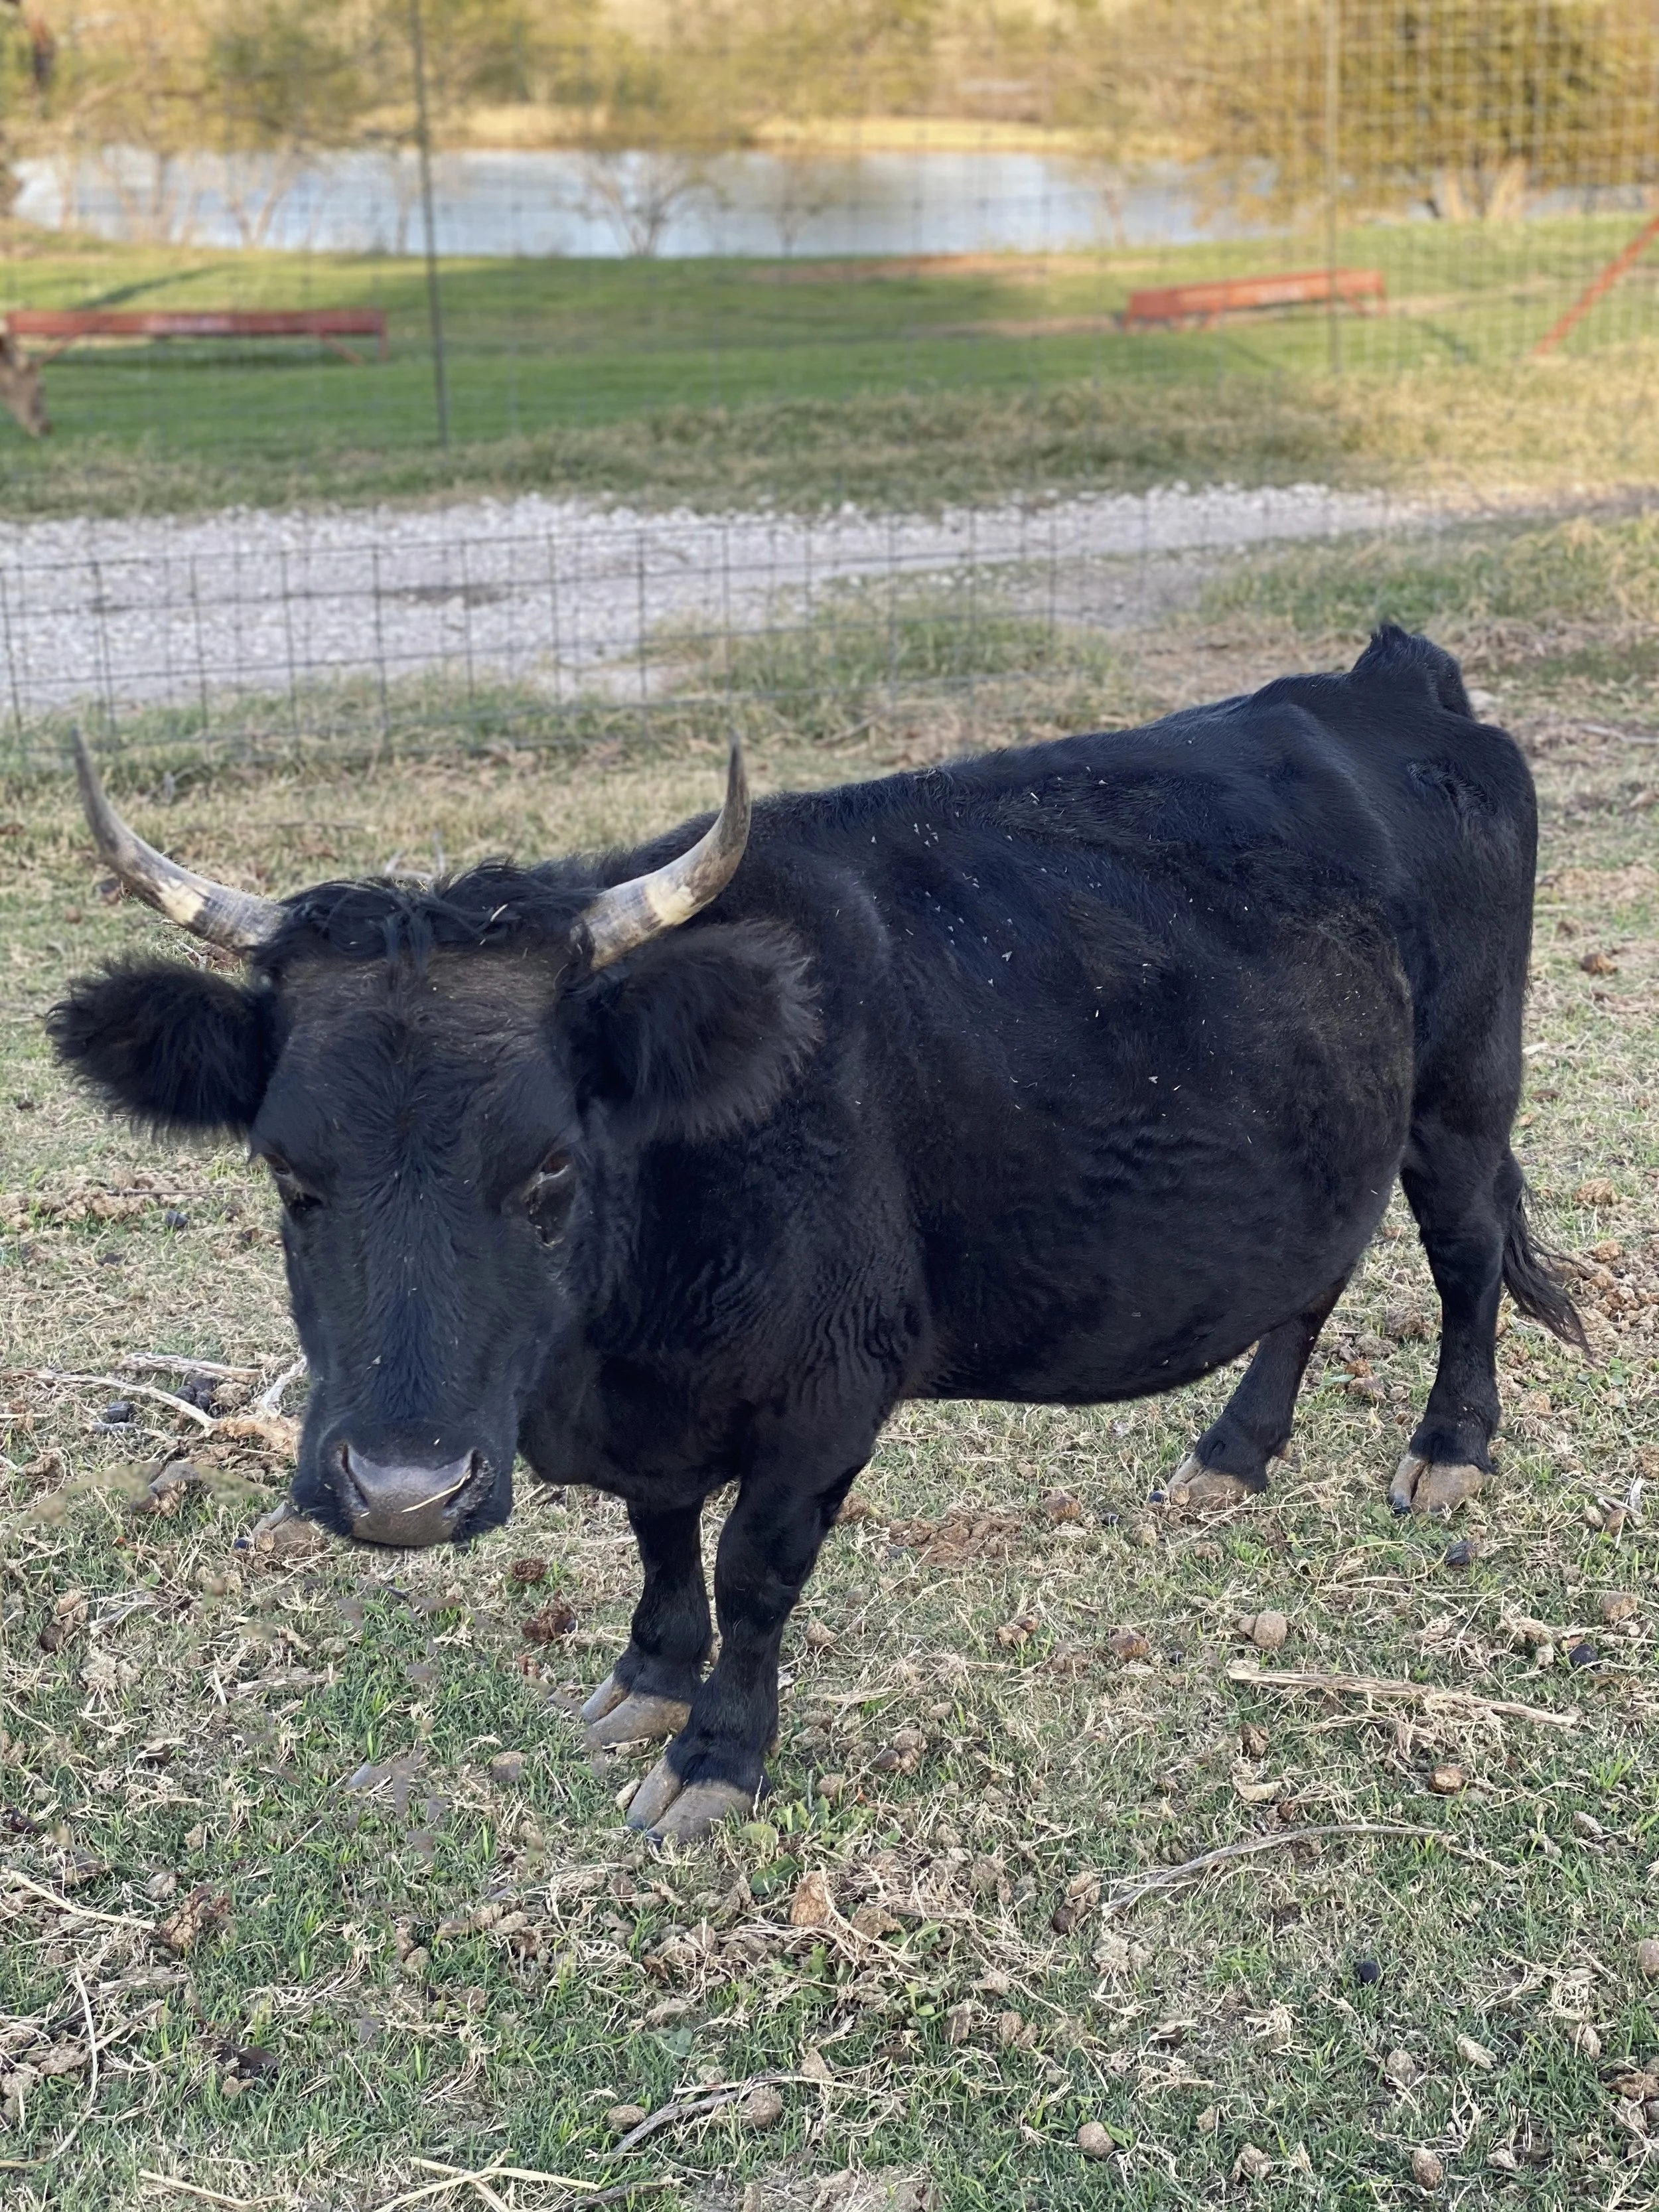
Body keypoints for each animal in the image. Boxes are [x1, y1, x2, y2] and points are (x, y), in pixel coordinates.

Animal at [50, 627, 1582, 1841]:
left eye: (549, 1166)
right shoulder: (659, 1416)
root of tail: (1383, 678)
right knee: (1314, 1277)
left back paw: (1451, 1448)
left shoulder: (827, 1397)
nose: (402, 1493)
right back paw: (1232, 1452)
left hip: (1462, 1090)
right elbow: (661, 1541)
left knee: (1460, 1257)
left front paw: (716, 1756)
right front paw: (645, 1679)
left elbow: (752, 1570)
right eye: (288, 1171)